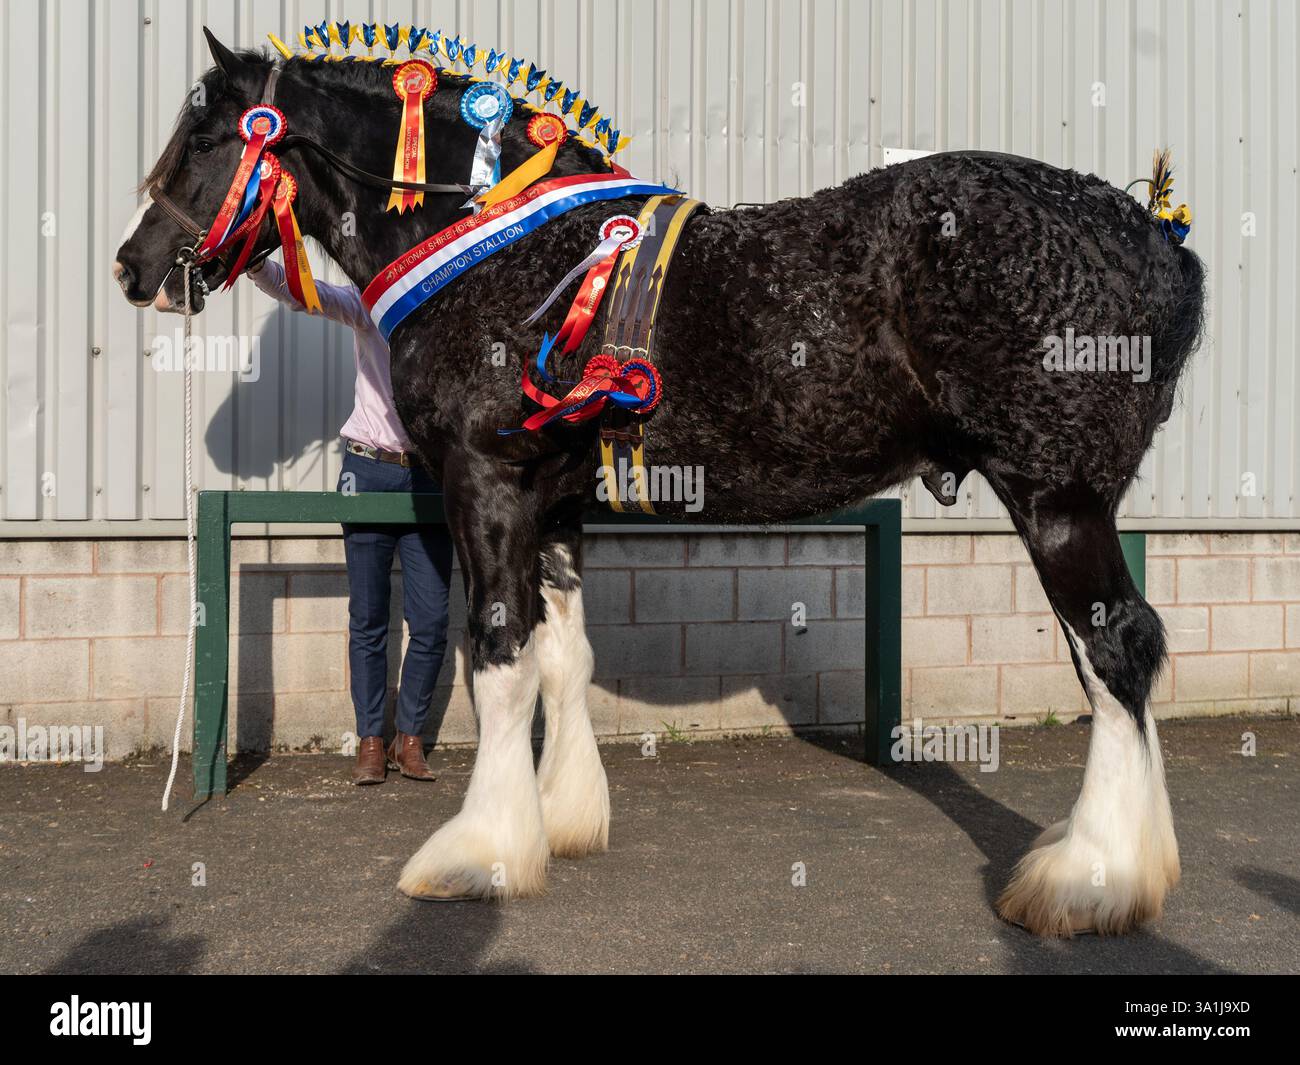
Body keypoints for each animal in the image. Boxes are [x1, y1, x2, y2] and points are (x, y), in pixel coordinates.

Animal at [114, 29, 1205, 937]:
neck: (503, 250)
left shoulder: (489, 482)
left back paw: (1090, 881)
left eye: (206, 138)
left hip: (1055, 499)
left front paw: (478, 853)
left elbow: (498, 658)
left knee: (1117, 652)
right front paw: (558, 820)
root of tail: (1144, 230)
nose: (132, 268)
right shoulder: (555, 502)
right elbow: (561, 659)